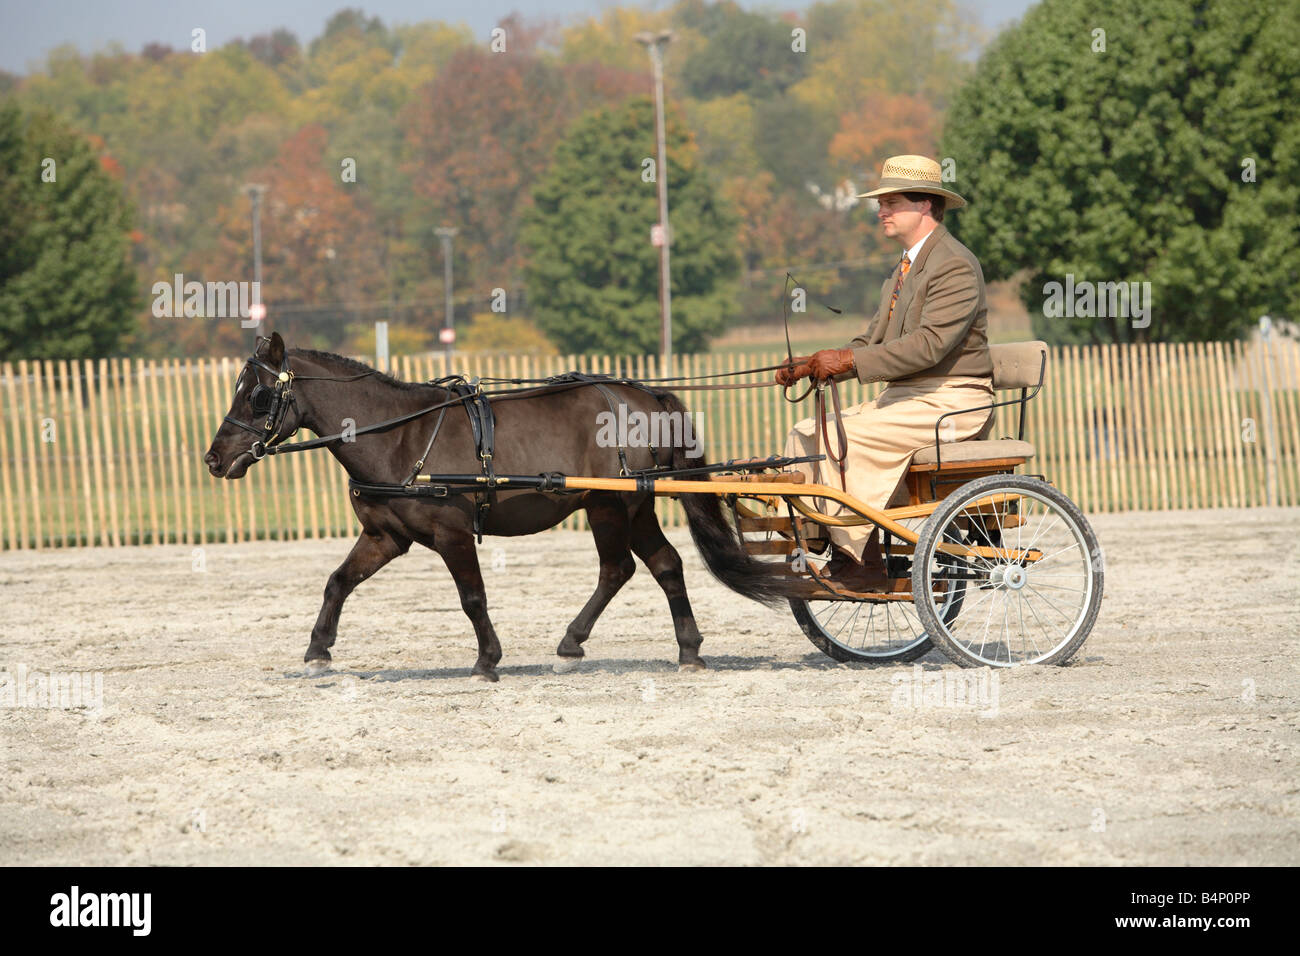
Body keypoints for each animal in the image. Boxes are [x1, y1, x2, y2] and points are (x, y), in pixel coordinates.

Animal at [203, 332, 796, 682]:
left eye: (257, 394)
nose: (214, 458)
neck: (397, 436)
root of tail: (646, 397)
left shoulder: (452, 533)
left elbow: (471, 597)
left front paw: (487, 660)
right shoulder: (385, 537)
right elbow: (337, 582)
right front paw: (318, 650)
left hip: (607, 504)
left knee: (619, 568)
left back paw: (576, 642)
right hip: (632, 505)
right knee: (662, 565)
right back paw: (685, 649)